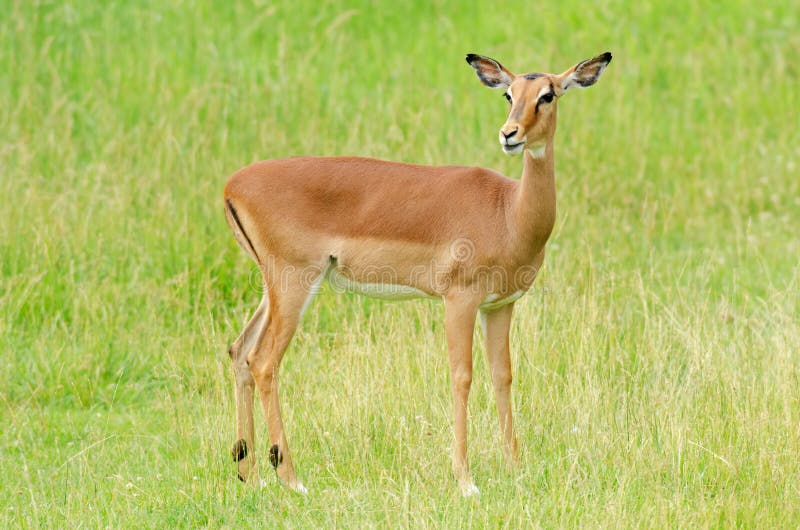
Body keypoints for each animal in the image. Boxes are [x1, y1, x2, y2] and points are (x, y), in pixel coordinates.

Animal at [223, 51, 612, 496]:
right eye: (509, 94)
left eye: (547, 95)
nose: (509, 134)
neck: (508, 211)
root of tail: (231, 186)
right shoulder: (459, 300)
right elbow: (462, 376)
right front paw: (466, 480)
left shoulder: (499, 306)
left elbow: (503, 375)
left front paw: (515, 469)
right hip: (293, 285)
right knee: (263, 361)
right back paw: (291, 478)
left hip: (272, 290)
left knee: (239, 350)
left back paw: (249, 474)